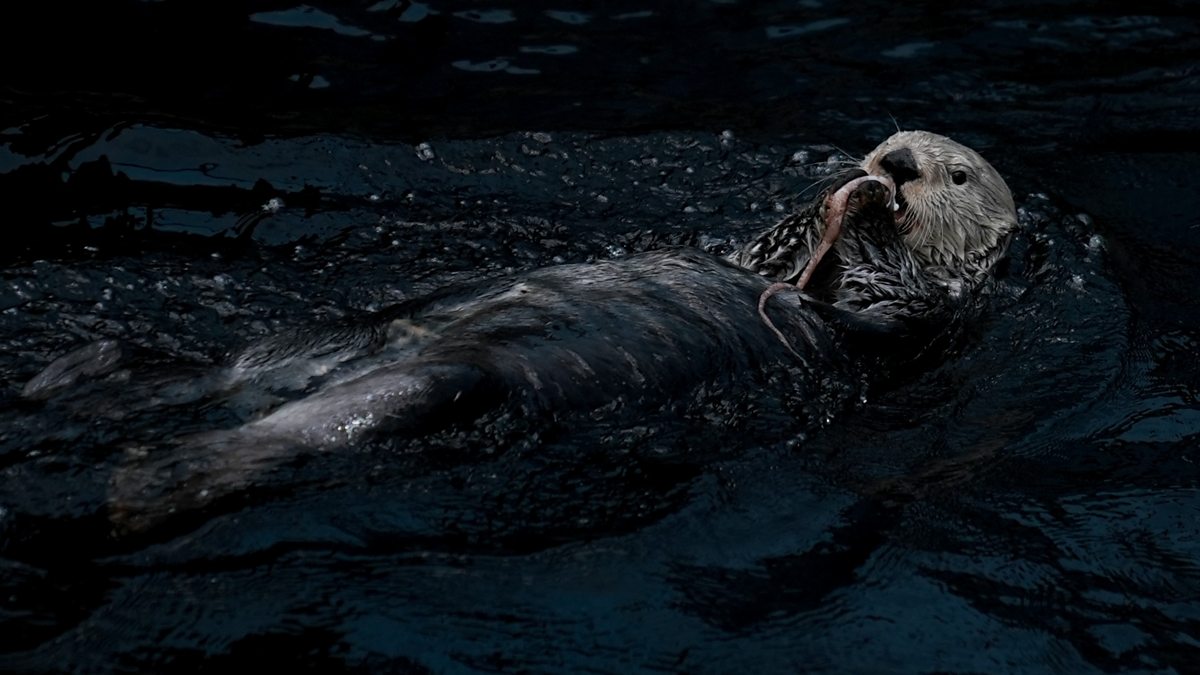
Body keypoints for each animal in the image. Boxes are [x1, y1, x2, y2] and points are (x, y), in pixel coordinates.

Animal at [23, 131, 1018, 532]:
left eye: (959, 174)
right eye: (889, 137)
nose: (894, 162)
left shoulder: (917, 326)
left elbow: (857, 309)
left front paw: (856, 227)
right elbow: (758, 256)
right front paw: (830, 203)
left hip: (447, 380)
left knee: (316, 418)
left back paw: (155, 477)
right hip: (326, 339)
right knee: (219, 372)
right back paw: (81, 375)